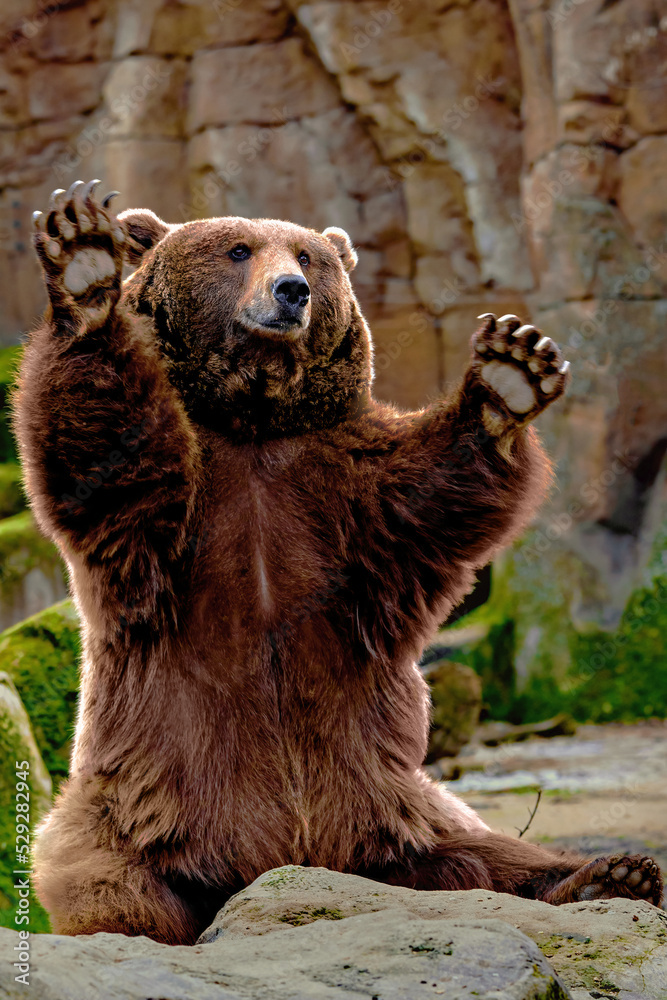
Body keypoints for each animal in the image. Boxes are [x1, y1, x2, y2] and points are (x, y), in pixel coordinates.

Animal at [14, 179, 663, 946]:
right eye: (238, 249)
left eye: (306, 255)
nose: (291, 291)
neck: (254, 421)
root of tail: (291, 864)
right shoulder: (178, 521)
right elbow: (107, 454)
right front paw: (85, 266)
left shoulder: (346, 490)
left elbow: (431, 494)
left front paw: (509, 377)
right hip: (142, 806)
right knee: (115, 883)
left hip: (394, 808)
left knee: (487, 855)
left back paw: (607, 875)